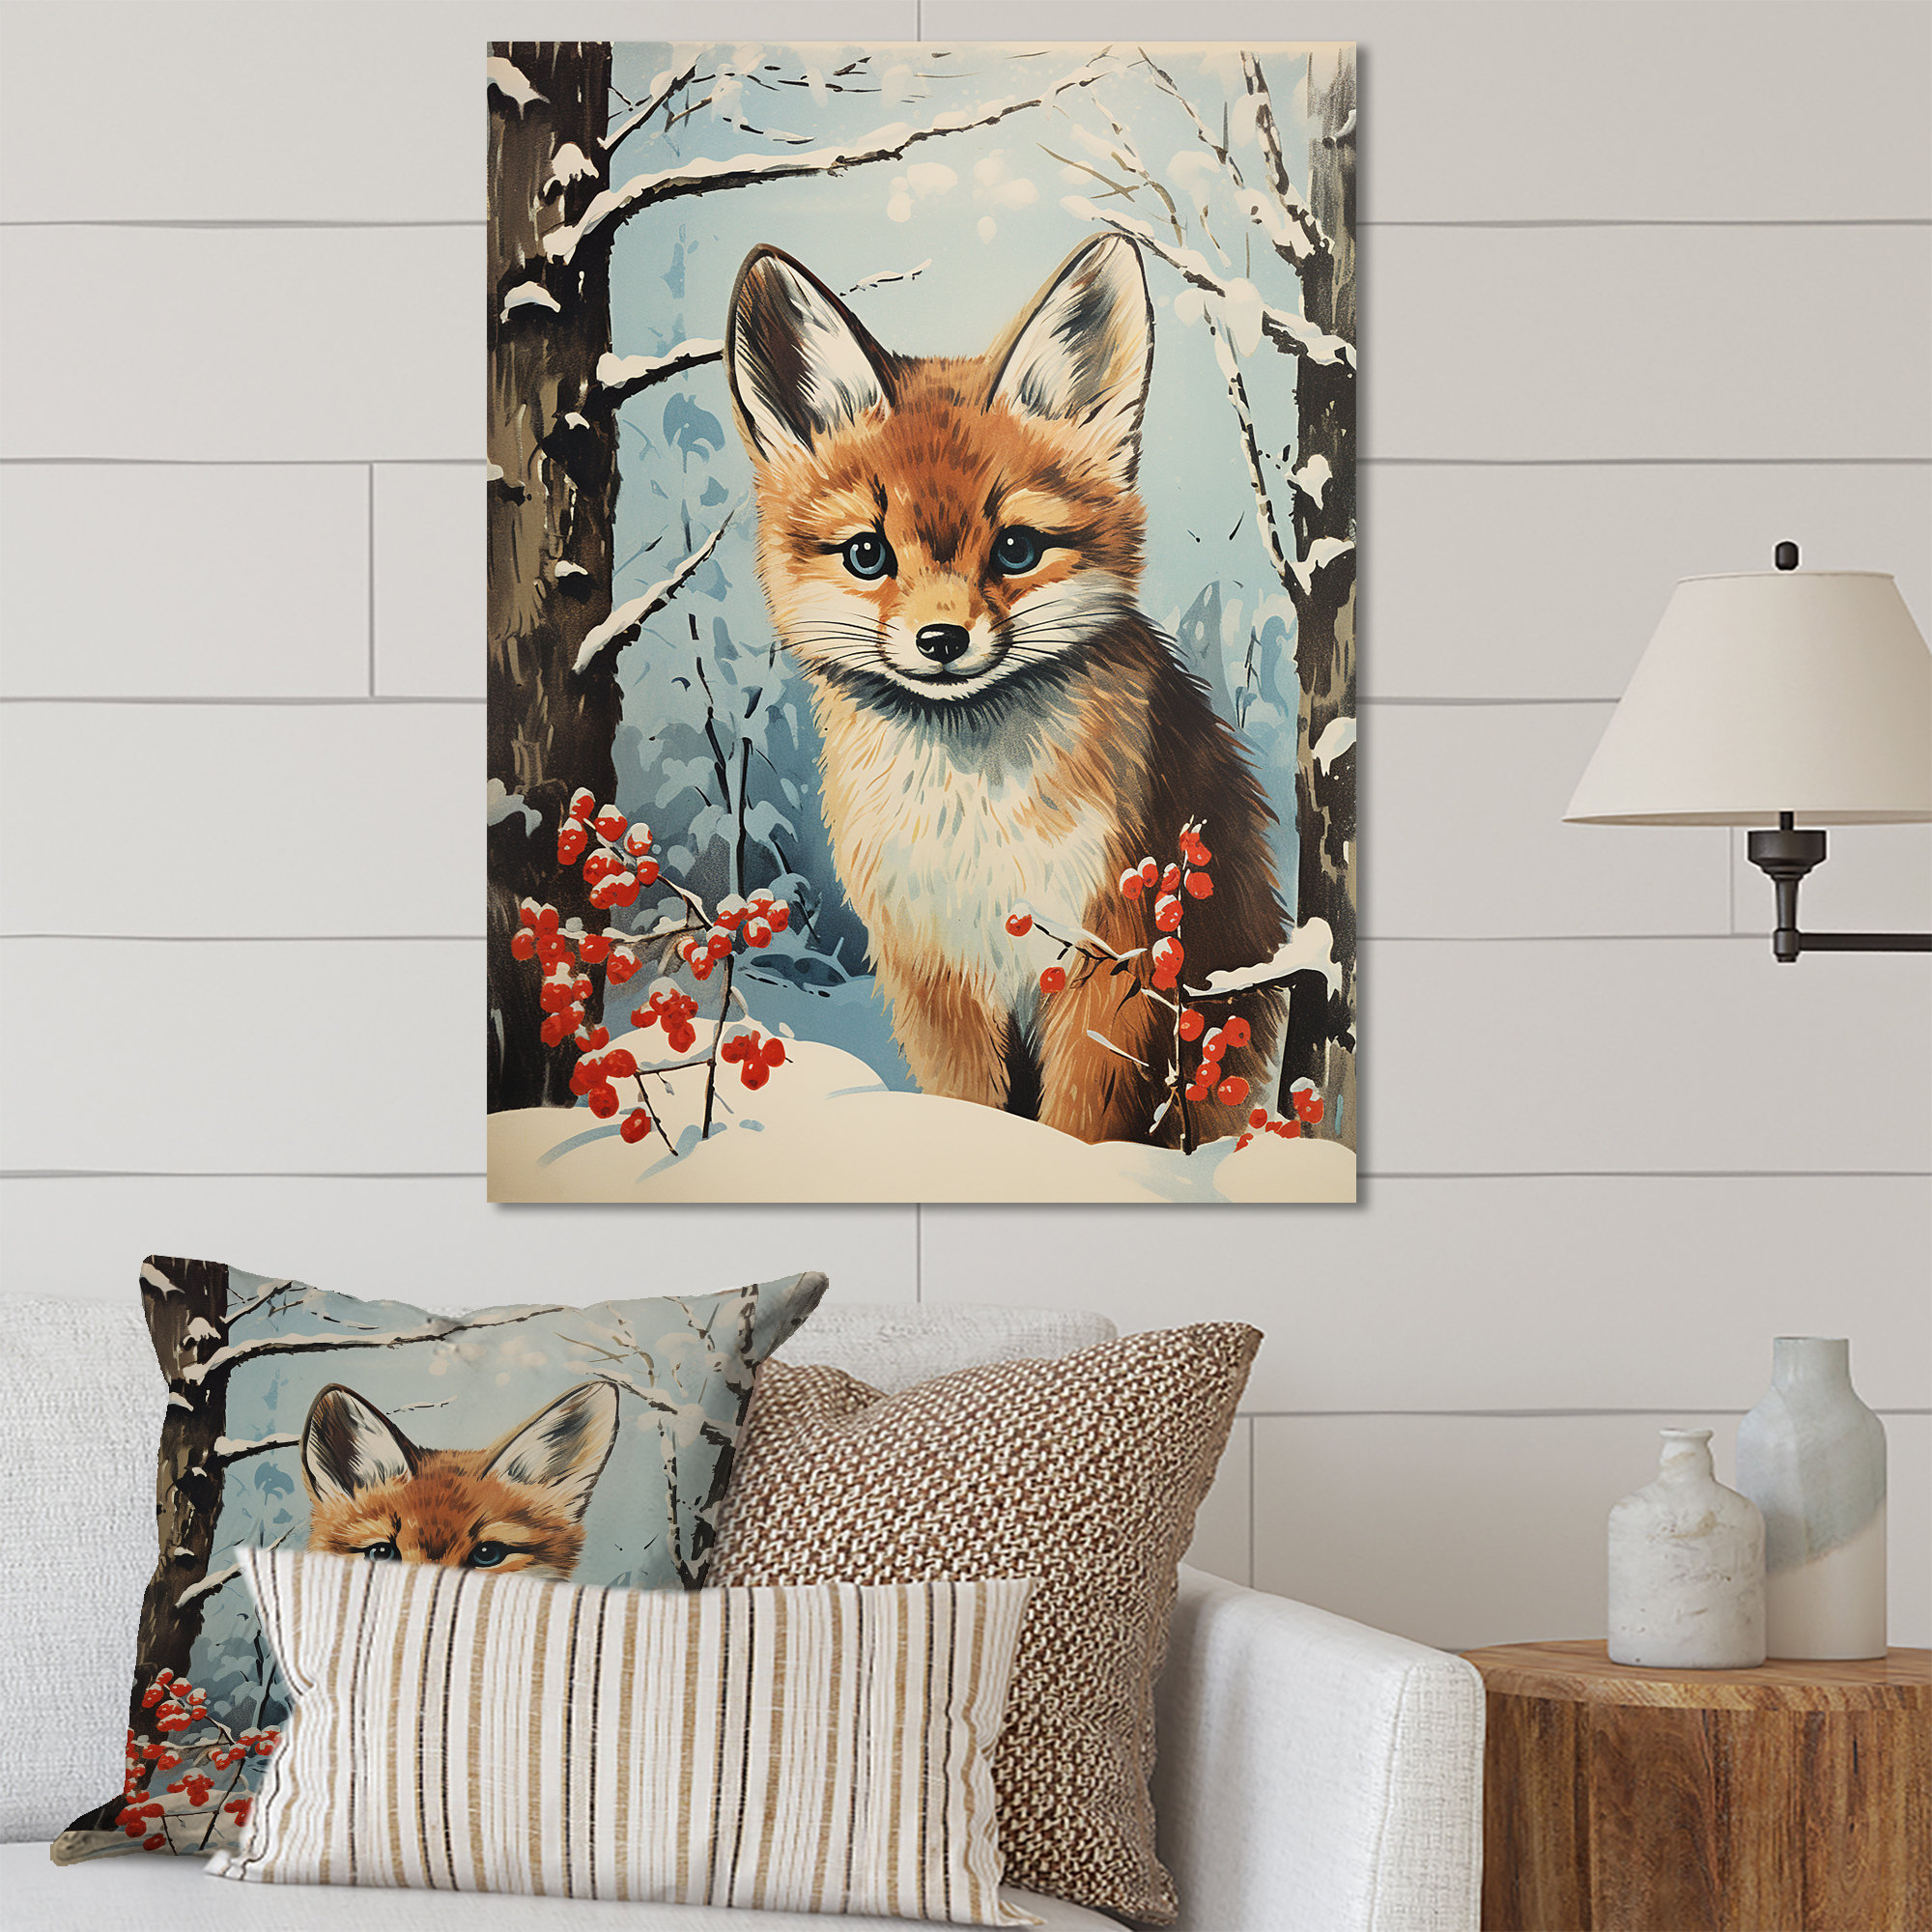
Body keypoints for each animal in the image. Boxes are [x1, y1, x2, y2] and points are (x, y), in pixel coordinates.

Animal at [724, 233, 1286, 1146]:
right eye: (868, 554)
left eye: (1018, 549)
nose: (942, 641)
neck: (974, 821)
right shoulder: (937, 972)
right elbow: (969, 1109)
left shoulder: (1115, 961)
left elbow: (1080, 1125)